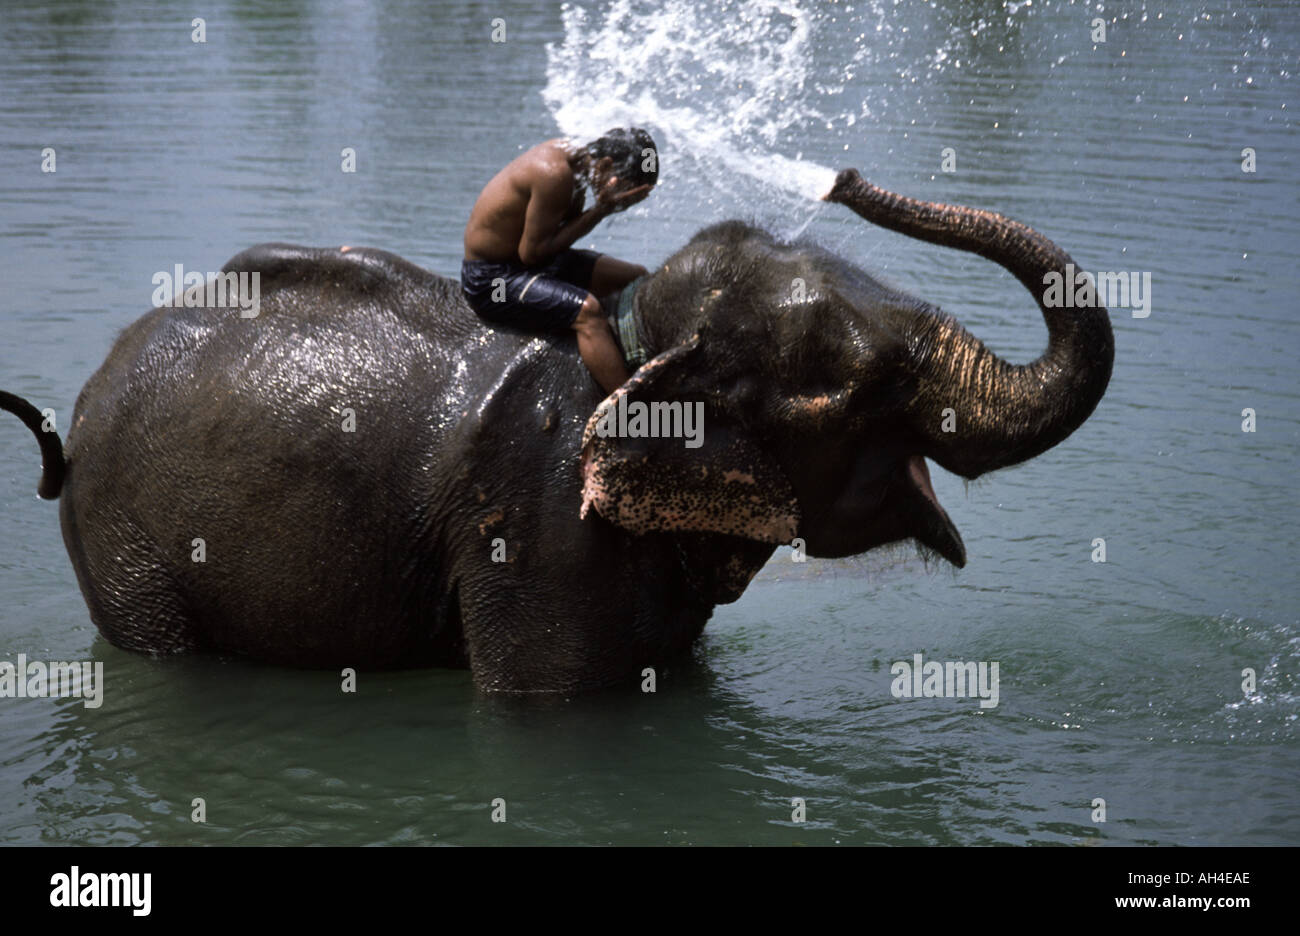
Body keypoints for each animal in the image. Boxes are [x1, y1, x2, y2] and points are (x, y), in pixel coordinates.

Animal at [2, 169, 1113, 693]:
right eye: (867, 385)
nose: (839, 176)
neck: (639, 337)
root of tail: (82, 407)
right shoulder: (534, 519)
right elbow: (549, 697)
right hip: (128, 549)